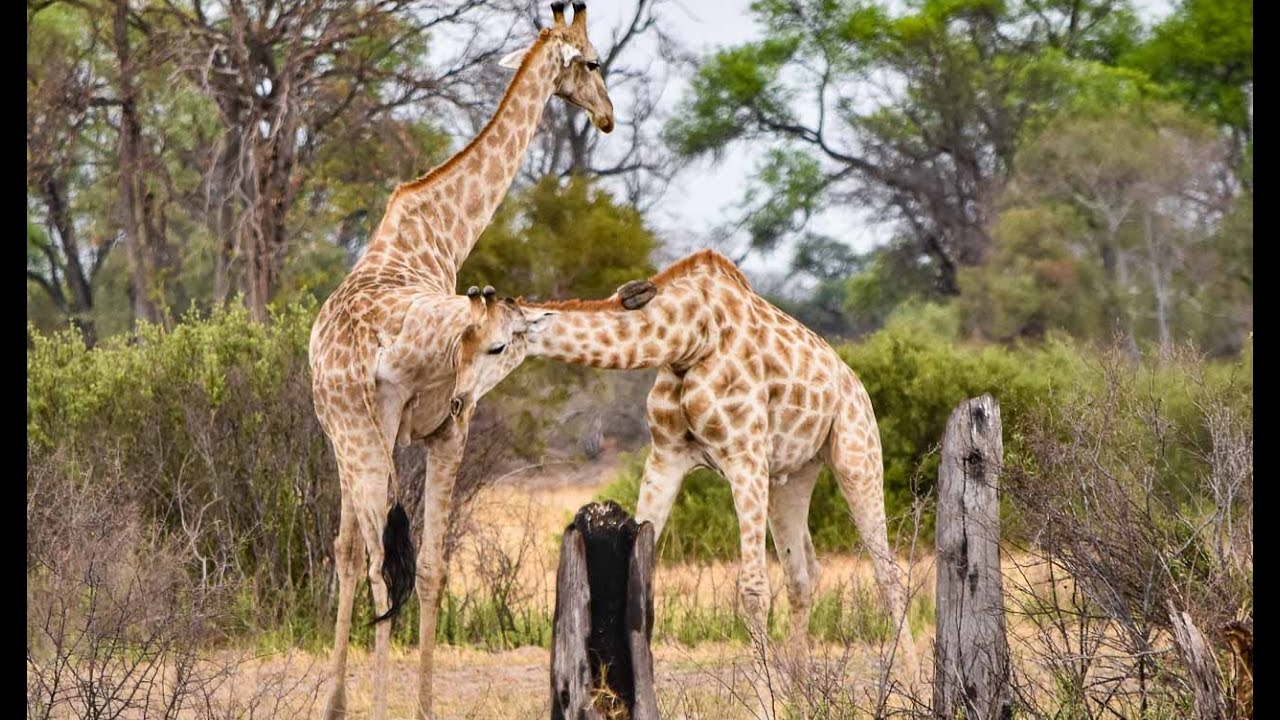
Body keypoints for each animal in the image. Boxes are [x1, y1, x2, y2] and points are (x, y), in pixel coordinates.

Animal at [308, 4, 617, 719]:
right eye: (592, 61)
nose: (608, 116)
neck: (437, 233)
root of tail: (354, 355)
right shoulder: (449, 424)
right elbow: (429, 565)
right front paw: (416, 704)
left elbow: (365, 553)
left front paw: (344, 699)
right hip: (380, 438)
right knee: (382, 560)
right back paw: (381, 703)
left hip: (346, 435)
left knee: (349, 551)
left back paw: (341, 701)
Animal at [455, 249, 922, 697]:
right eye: (459, 344)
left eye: (497, 347)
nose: (458, 401)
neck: (687, 338)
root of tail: (853, 379)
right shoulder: (666, 456)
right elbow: (639, 569)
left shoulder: (745, 457)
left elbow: (753, 589)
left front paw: (764, 705)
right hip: (792, 477)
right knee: (802, 575)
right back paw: (802, 696)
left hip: (856, 452)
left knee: (888, 574)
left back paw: (908, 687)